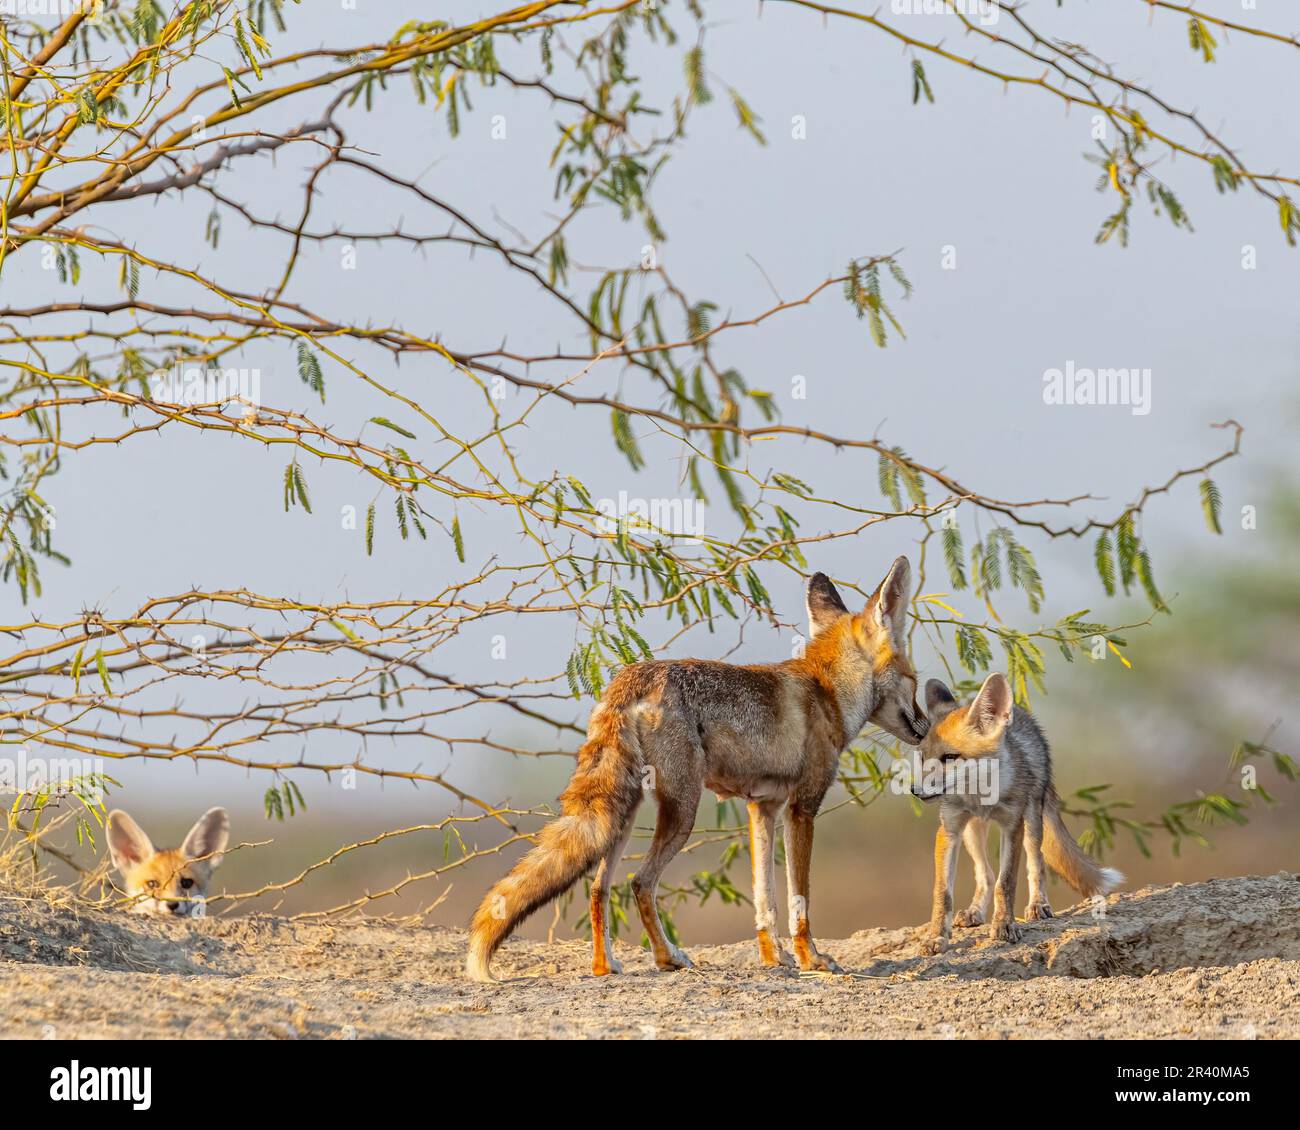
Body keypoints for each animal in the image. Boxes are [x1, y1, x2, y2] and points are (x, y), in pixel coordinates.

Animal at [467, 556, 929, 982]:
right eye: (914, 680)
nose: (926, 728)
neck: (828, 691)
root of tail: (632, 676)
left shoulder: (763, 807)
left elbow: (765, 899)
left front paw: (772, 959)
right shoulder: (803, 808)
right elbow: (799, 899)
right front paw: (810, 959)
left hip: (624, 813)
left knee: (599, 887)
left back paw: (605, 965)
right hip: (681, 810)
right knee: (640, 881)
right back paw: (666, 958)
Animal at [913, 672, 1123, 953]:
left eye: (949, 757)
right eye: (922, 758)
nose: (914, 790)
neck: (981, 798)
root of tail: (1024, 717)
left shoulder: (1012, 826)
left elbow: (1006, 883)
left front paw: (1004, 925)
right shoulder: (949, 830)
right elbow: (943, 893)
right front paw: (937, 936)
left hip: (1033, 821)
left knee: (1036, 864)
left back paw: (1038, 904)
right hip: (972, 832)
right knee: (985, 874)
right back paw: (974, 912)